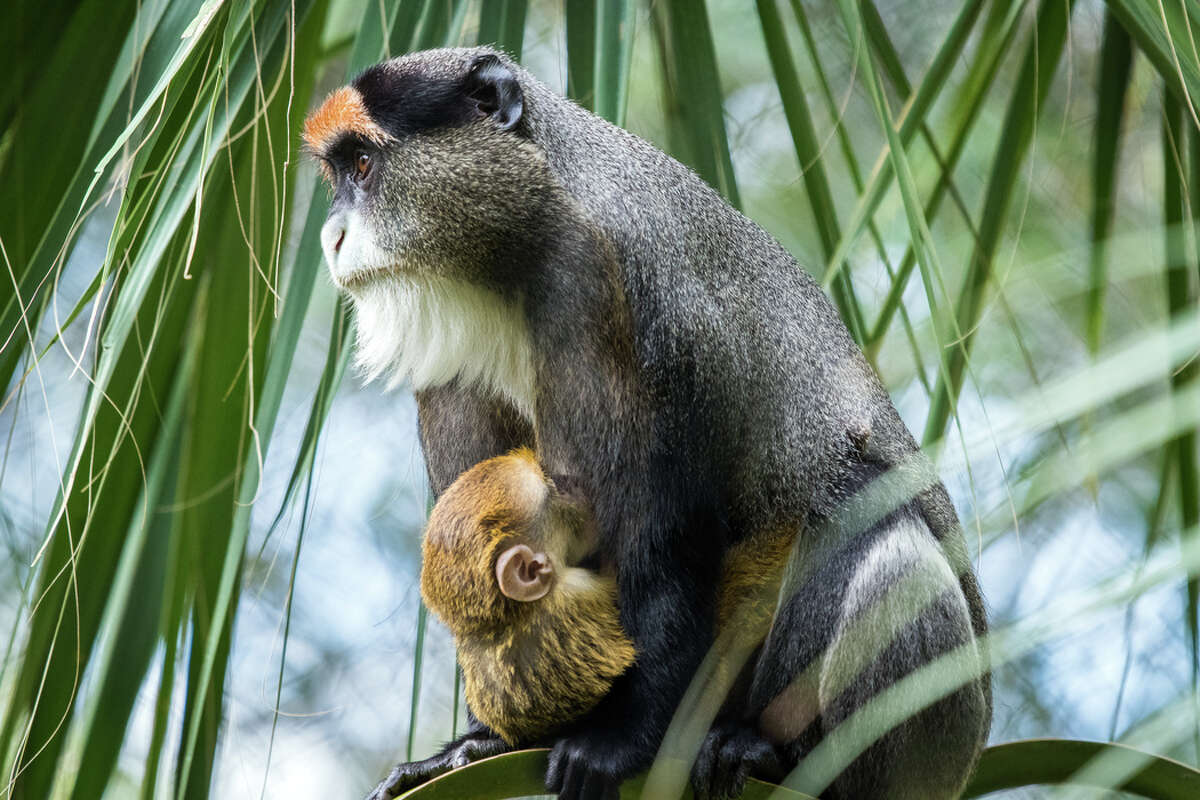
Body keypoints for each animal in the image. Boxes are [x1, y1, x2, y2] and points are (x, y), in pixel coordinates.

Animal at [303, 47, 990, 800]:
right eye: (339, 173)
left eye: (364, 165)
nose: (332, 237)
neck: (526, 235)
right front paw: (484, 741)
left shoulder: (633, 296)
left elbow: (661, 532)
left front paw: (619, 745)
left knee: (885, 543)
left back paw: (773, 757)